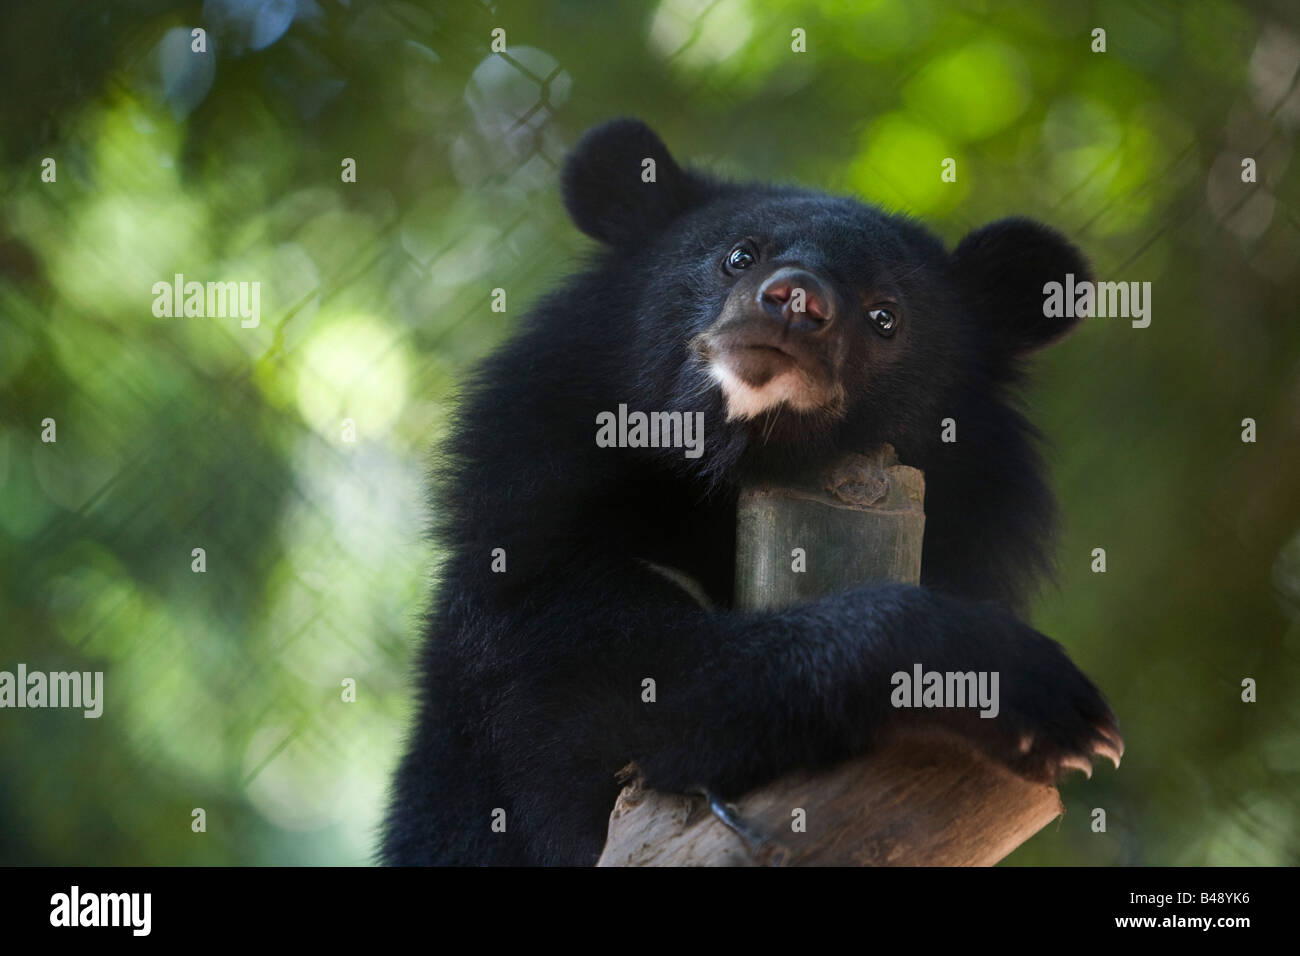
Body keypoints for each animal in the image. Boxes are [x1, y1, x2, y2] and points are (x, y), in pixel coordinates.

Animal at [380, 118, 1123, 866]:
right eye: (739, 256)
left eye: (886, 316)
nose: (796, 300)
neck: (731, 461)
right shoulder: (530, 556)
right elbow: (621, 690)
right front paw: (1041, 698)